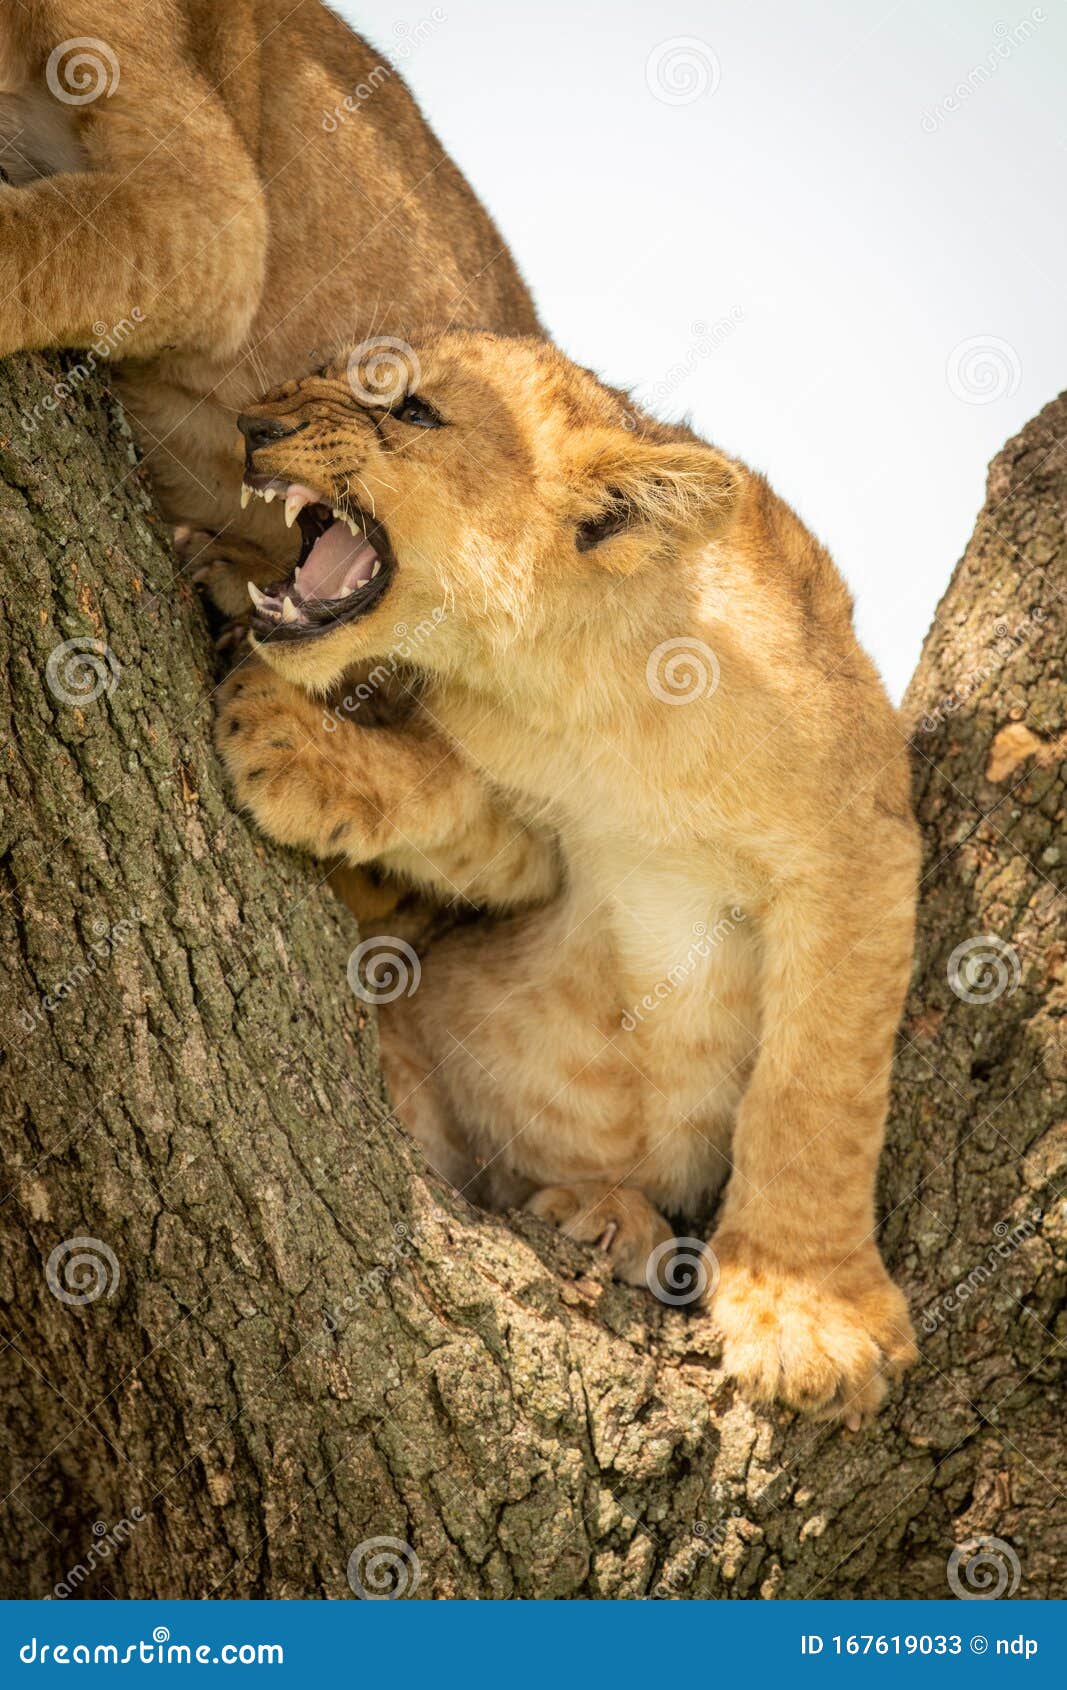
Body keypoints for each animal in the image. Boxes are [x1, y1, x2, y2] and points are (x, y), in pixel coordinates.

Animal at [213, 330, 921, 1425]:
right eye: (331, 369)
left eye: (411, 410)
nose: (255, 422)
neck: (580, 682)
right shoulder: (523, 831)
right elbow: (439, 795)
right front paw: (289, 743)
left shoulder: (856, 856)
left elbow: (814, 1097)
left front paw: (812, 1320)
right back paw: (602, 1212)